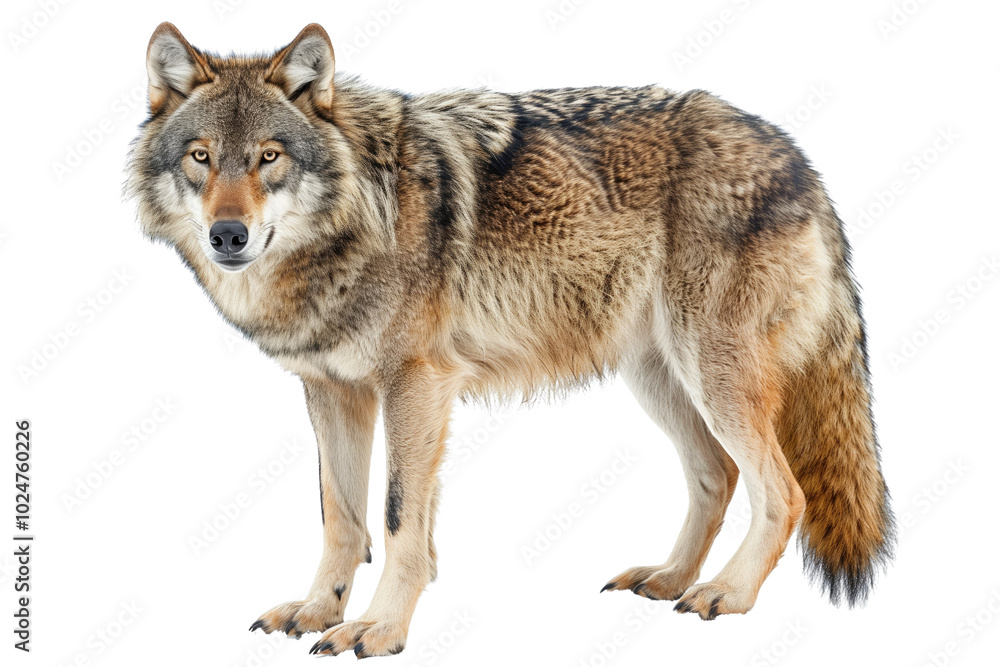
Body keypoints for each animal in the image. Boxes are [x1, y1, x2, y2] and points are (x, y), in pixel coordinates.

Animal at [127, 22, 895, 658]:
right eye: (201, 156)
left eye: (268, 157)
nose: (229, 235)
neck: (359, 218)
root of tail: (798, 156)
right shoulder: (333, 391)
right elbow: (341, 518)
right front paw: (319, 610)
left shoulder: (417, 384)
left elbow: (398, 519)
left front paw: (379, 628)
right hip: (659, 378)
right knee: (718, 475)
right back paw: (671, 576)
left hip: (712, 375)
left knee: (784, 491)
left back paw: (727, 594)